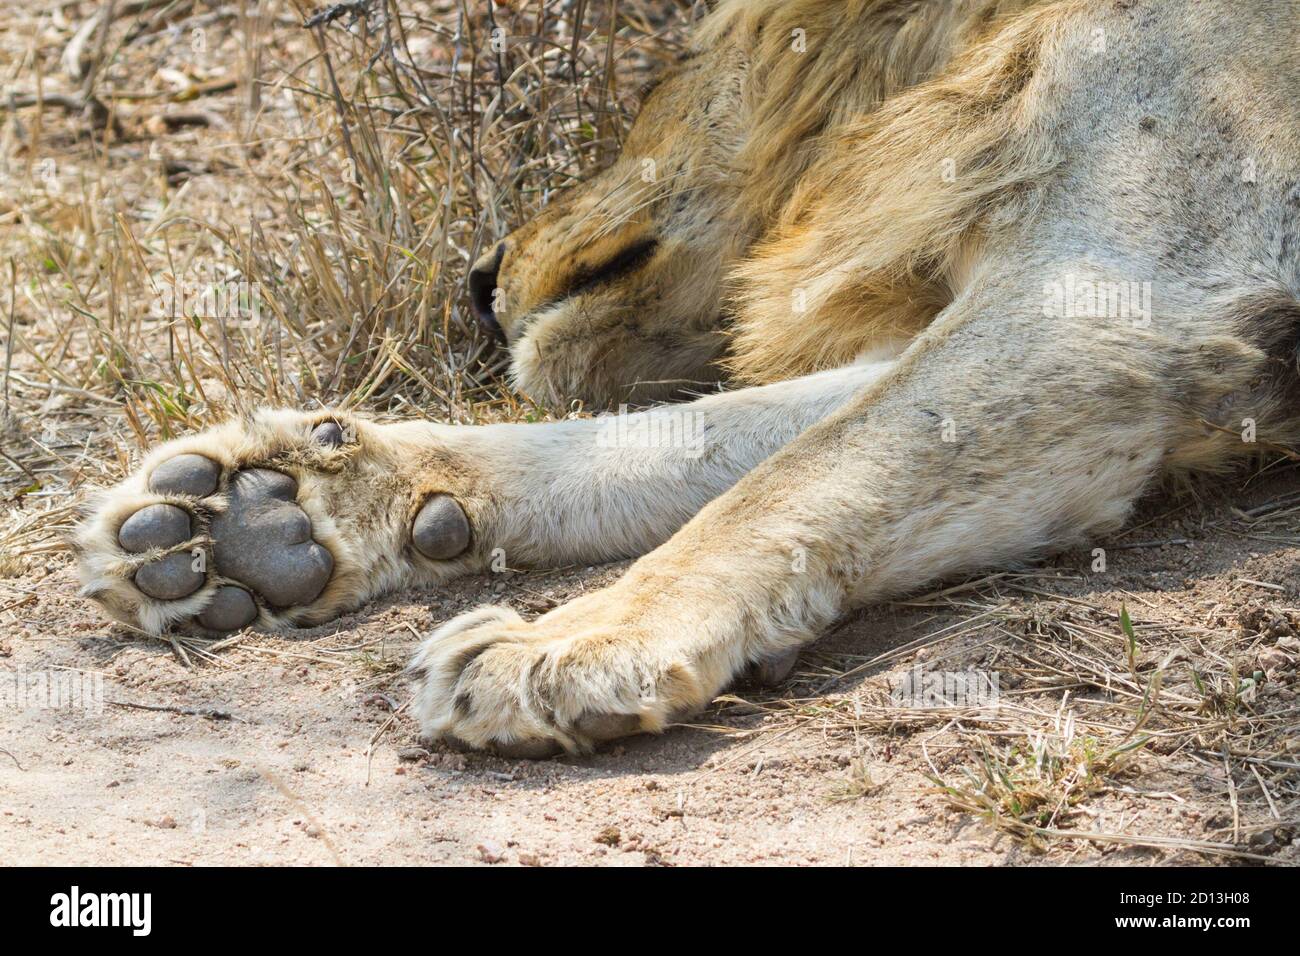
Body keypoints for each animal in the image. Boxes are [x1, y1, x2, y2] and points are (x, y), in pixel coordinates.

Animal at [75, 0, 1300, 757]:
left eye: (666, 65)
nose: (477, 278)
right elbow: (688, 444)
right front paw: (269, 514)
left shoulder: (1121, 296)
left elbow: (801, 474)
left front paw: (573, 645)